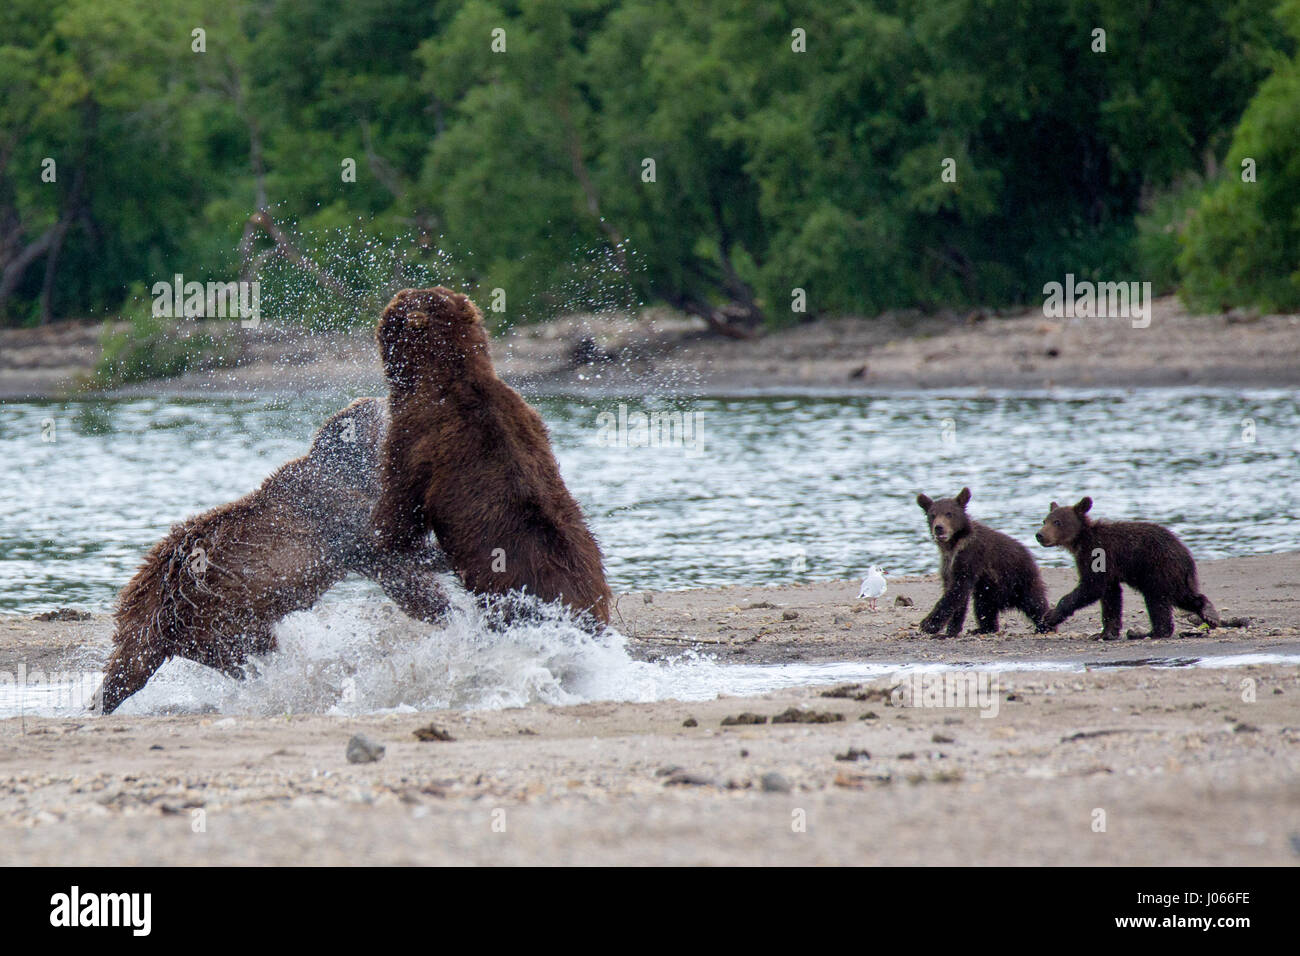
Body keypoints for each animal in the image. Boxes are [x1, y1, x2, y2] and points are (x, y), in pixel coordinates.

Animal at [98, 397, 451, 714]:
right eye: (386, 408)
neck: (348, 472)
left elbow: (407, 583)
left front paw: (446, 609)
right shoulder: (336, 514)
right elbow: (397, 556)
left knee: (130, 671)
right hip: (217, 619)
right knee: (249, 656)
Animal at [916, 487, 1050, 637]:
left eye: (949, 513)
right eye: (932, 515)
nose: (939, 527)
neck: (953, 544)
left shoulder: (970, 556)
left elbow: (956, 590)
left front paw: (928, 624)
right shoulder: (947, 563)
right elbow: (956, 593)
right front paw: (951, 629)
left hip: (1020, 578)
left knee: (1035, 603)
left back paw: (1045, 625)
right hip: (990, 588)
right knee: (983, 607)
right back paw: (982, 628)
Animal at [1036, 497, 1220, 640]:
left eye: (1057, 522)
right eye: (1044, 520)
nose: (1040, 535)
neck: (1081, 541)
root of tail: (1186, 554)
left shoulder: (1099, 554)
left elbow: (1091, 586)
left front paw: (1050, 616)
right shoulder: (1108, 569)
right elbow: (1111, 596)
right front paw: (1106, 633)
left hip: (1158, 568)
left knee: (1156, 599)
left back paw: (1151, 632)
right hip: (1174, 575)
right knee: (1180, 595)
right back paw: (1208, 613)